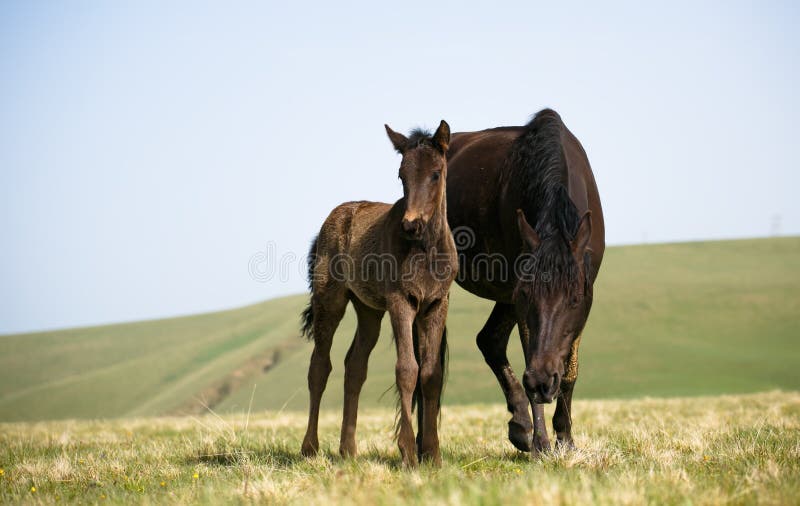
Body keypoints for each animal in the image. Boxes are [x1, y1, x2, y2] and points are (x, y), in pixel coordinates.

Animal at [300, 120, 458, 467]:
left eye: (436, 173)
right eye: (401, 174)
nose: (411, 224)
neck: (425, 250)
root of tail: (331, 220)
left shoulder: (436, 304)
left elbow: (432, 374)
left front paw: (434, 455)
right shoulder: (402, 302)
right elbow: (407, 369)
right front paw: (409, 453)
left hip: (368, 309)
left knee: (354, 366)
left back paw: (348, 450)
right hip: (329, 300)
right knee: (319, 366)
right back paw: (309, 448)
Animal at [446, 109, 604, 453]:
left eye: (574, 298)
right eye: (527, 296)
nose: (543, 381)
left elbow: (570, 371)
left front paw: (565, 438)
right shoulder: (518, 301)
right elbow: (529, 353)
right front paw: (541, 442)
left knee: (489, 340)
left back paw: (519, 424)